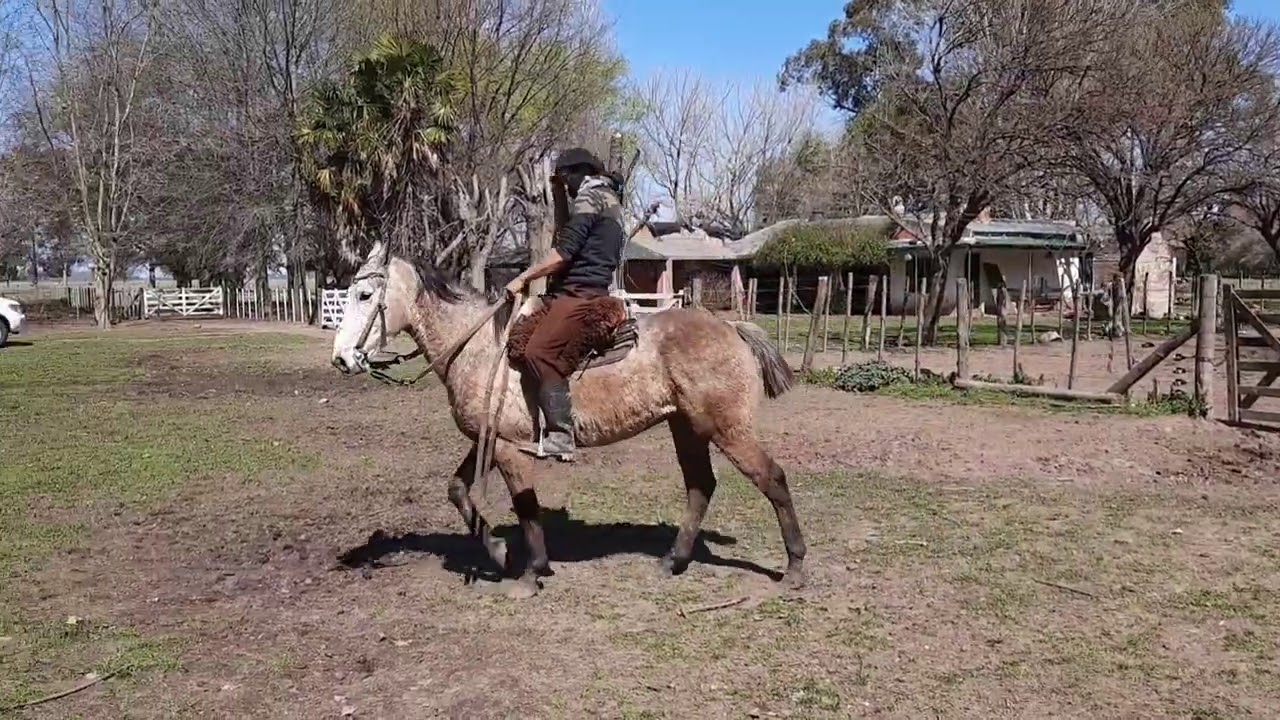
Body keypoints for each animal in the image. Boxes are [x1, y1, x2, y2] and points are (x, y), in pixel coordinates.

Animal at [330, 243, 806, 598]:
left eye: (365, 296)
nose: (341, 358)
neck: (480, 346)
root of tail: (733, 328)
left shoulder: (508, 448)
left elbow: (525, 506)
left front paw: (530, 573)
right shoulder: (488, 438)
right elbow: (458, 490)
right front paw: (499, 552)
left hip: (727, 429)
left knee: (772, 478)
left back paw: (795, 569)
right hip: (686, 428)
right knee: (700, 486)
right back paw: (674, 560)